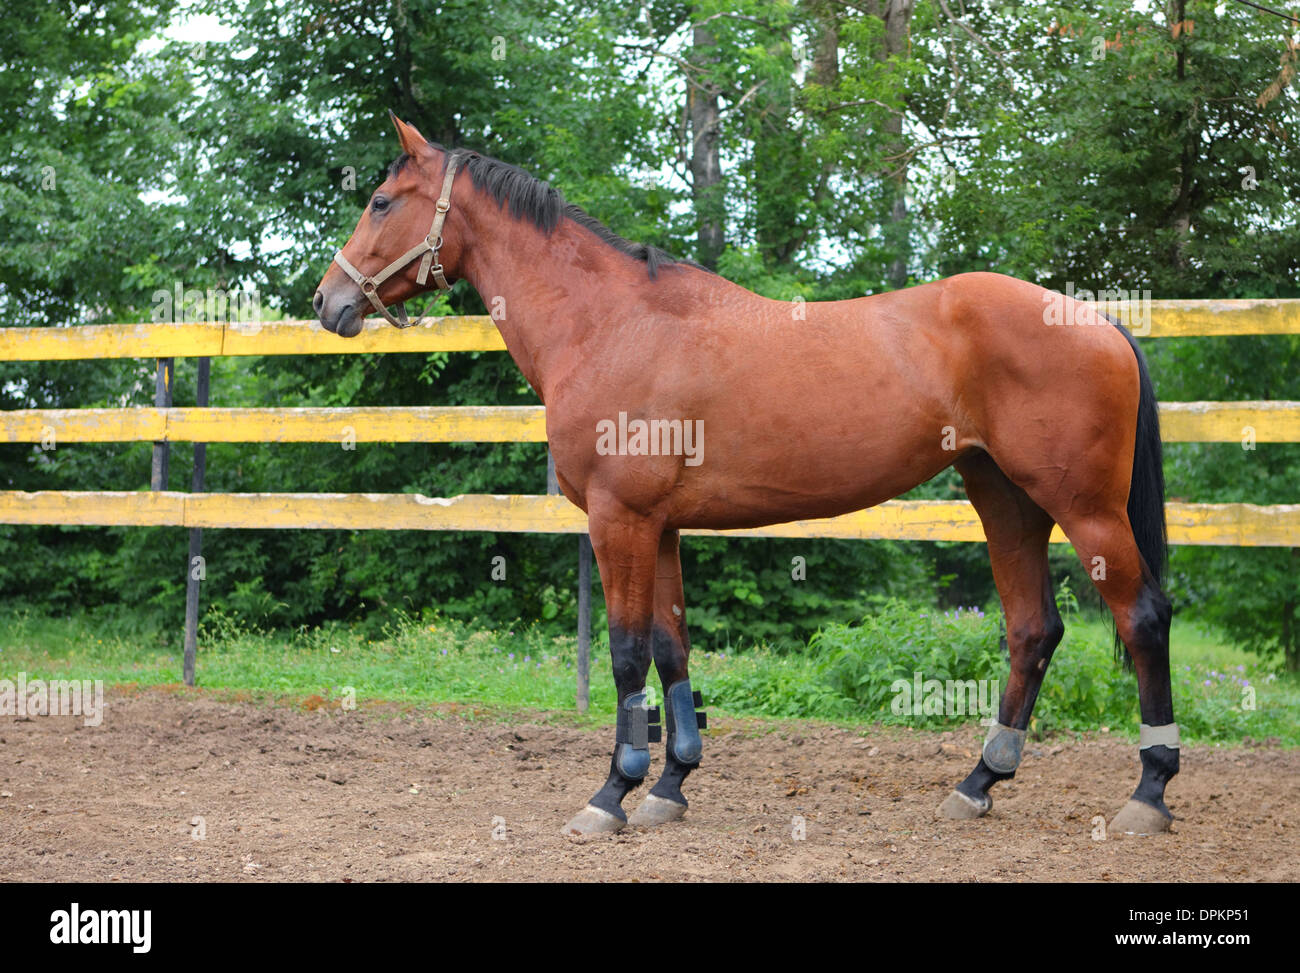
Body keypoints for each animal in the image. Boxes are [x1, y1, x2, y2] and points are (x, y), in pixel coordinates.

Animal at [313, 114, 1179, 837]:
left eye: (382, 200)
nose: (328, 301)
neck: (610, 324)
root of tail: (1097, 320)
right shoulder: (659, 526)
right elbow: (672, 650)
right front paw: (669, 786)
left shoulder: (620, 519)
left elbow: (627, 653)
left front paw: (612, 794)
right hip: (1004, 497)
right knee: (1032, 627)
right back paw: (978, 782)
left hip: (1084, 507)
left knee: (1142, 618)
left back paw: (1148, 792)